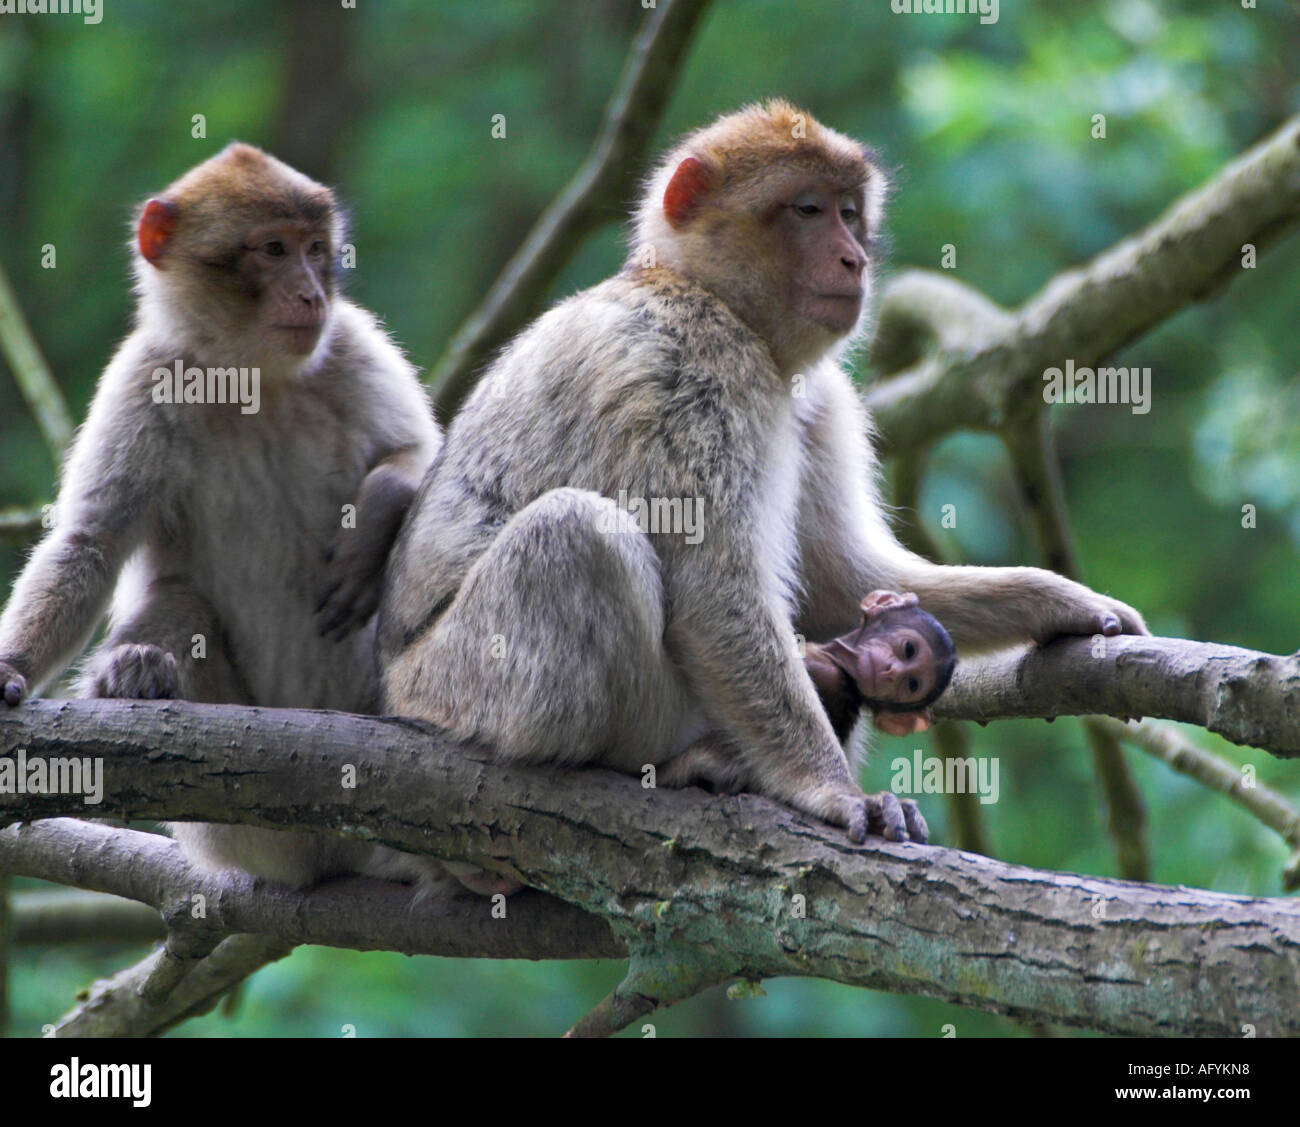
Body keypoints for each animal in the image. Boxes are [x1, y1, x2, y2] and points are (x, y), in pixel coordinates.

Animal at [0, 142, 443, 888]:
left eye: (315, 249)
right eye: (272, 249)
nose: (311, 293)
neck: (250, 375)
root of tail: (328, 859)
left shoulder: (351, 342)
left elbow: (434, 459)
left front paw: (378, 508)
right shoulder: (144, 375)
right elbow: (91, 542)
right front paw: (11, 667)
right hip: (238, 836)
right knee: (180, 601)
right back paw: (136, 678)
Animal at [377, 99, 1146, 878]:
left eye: (849, 212)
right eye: (807, 209)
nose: (855, 258)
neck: (711, 297)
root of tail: (396, 686)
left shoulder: (821, 399)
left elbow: (841, 583)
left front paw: (1057, 600)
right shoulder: (689, 371)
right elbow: (715, 590)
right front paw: (831, 789)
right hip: (464, 687)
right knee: (575, 532)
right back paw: (669, 761)